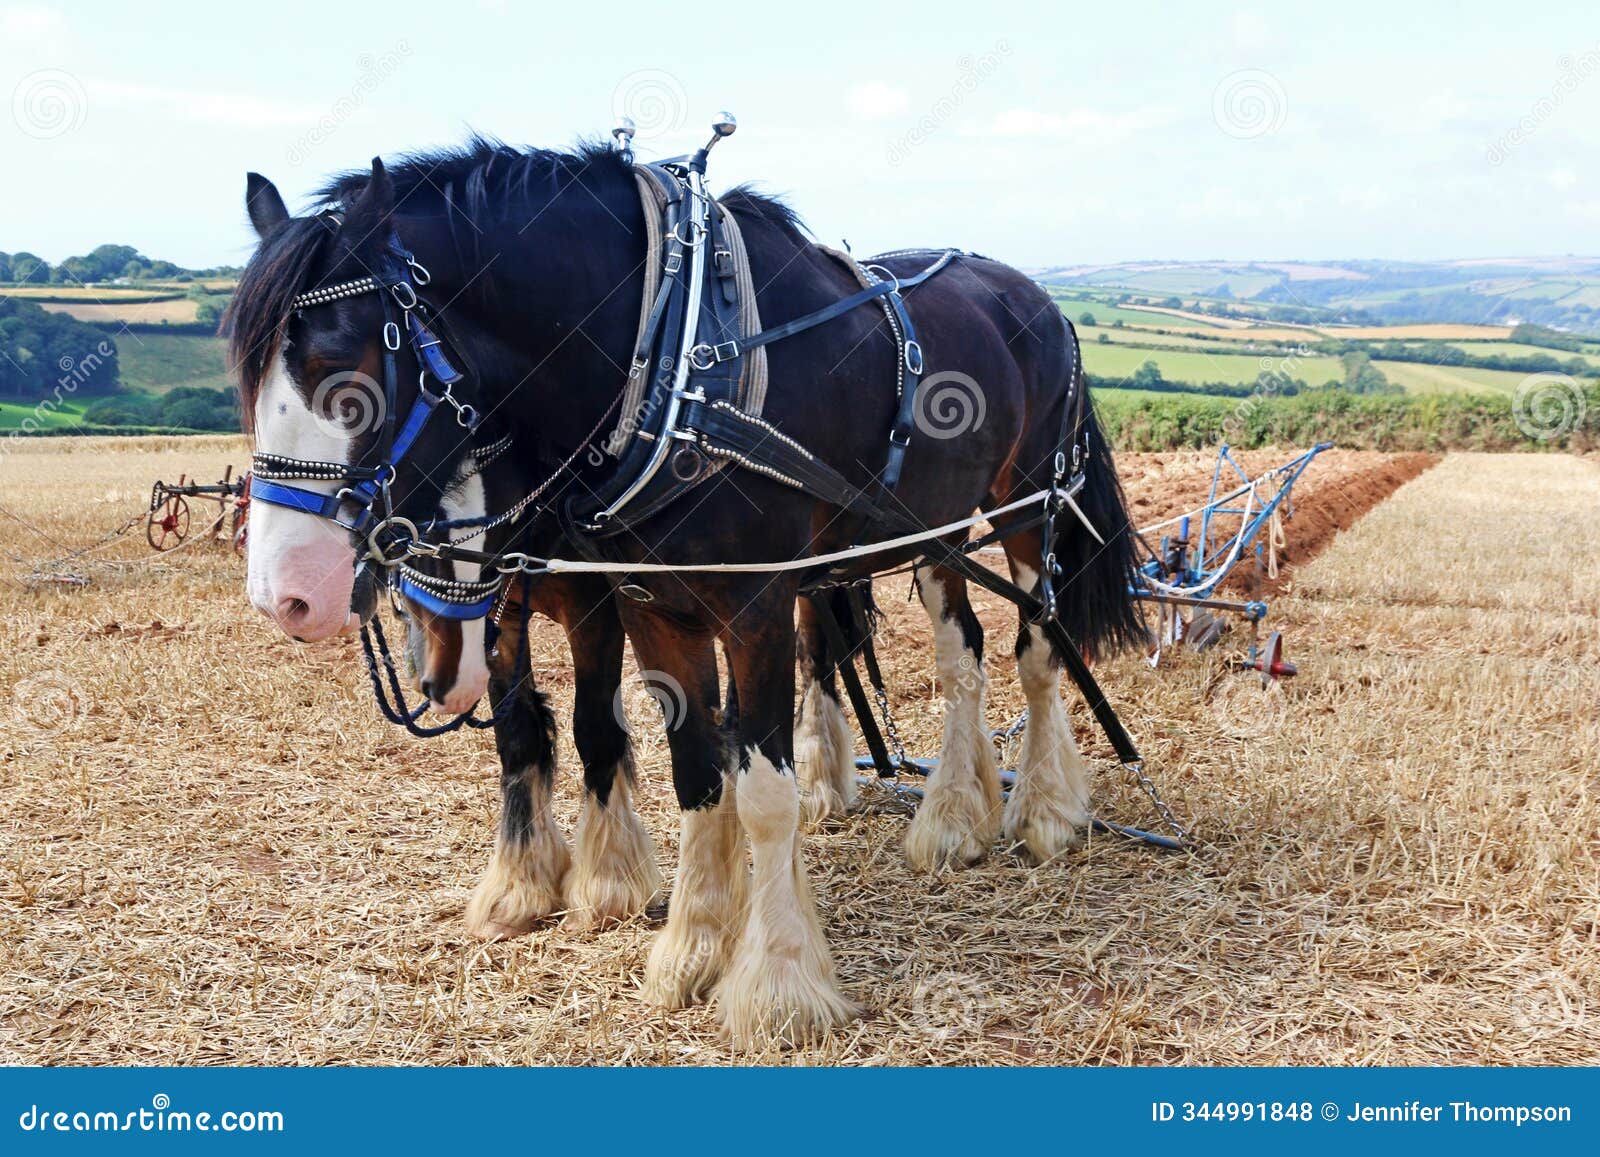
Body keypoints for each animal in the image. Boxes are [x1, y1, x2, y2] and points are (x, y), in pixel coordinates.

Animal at [227, 137, 1141, 1046]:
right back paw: (954, 815)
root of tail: (1038, 298)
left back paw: (1045, 809)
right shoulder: (645, 605)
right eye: (247, 383)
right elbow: (687, 766)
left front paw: (775, 979)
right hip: (931, 530)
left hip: (1026, 509)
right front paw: (689, 943)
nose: (284, 596)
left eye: (342, 376)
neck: (677, 358)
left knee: (1036, 651)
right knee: (963, 659)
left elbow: (750, 787)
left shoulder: (740, 604)